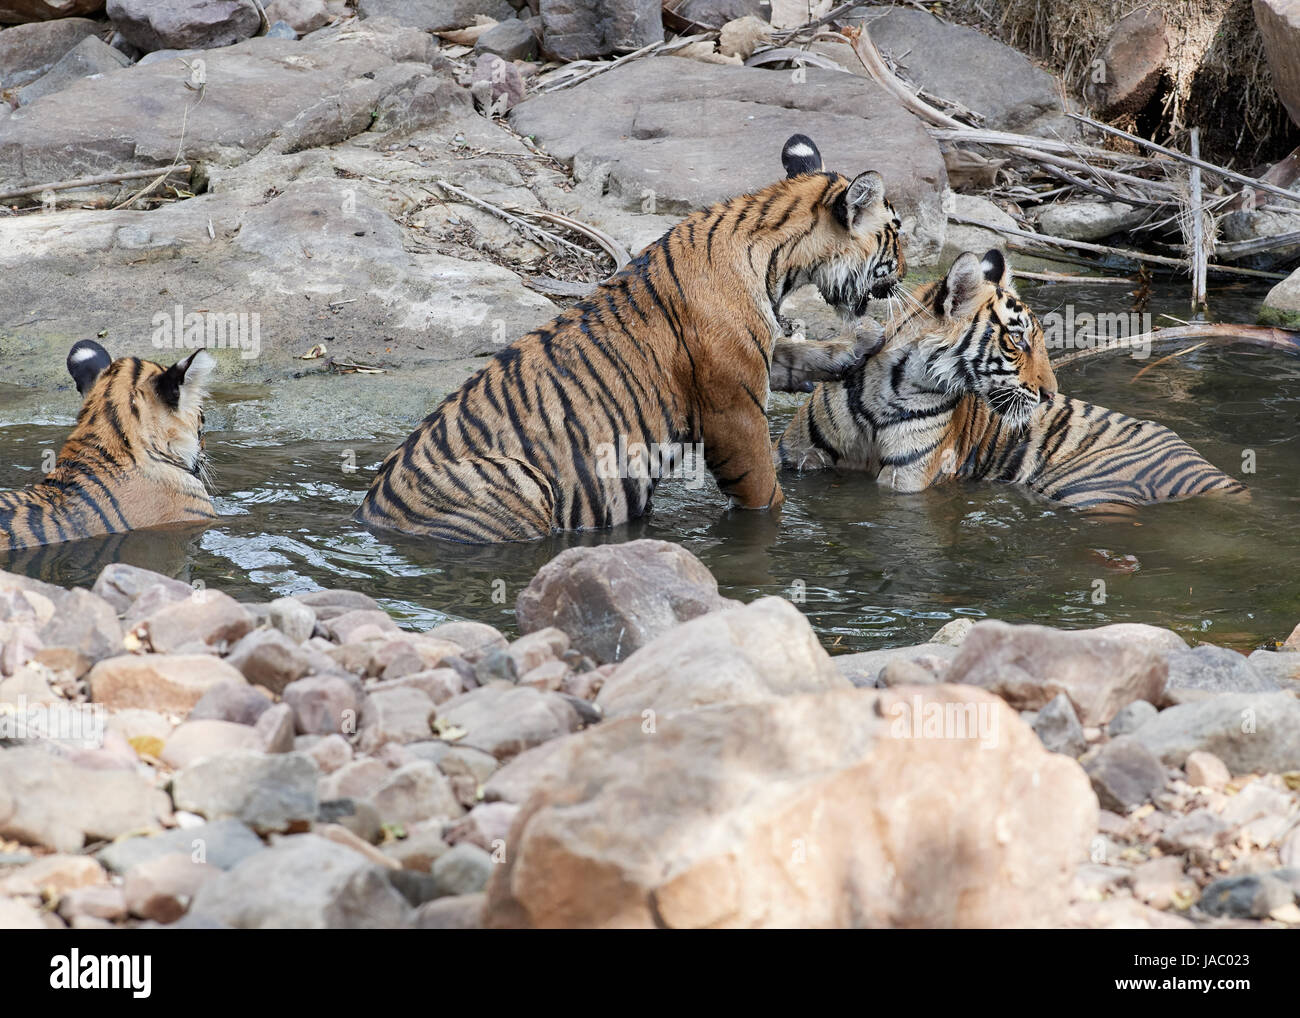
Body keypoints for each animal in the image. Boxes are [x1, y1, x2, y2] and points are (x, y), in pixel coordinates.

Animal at [356, 134, 907, 543]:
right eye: (897, 232)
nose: (901, 275)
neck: (777, 261)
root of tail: (369, 513)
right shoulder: (732, 406)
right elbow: (761, 487)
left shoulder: (758, 355)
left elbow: (798, 353)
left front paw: (863, 342)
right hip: (520, 484)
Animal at [776, 249, 1248, 511]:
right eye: (1018, 340)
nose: (1051, 394)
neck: (888, 389)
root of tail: (1221, 475)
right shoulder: (798, 456)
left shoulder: (907, 480)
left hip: (1087, 489)